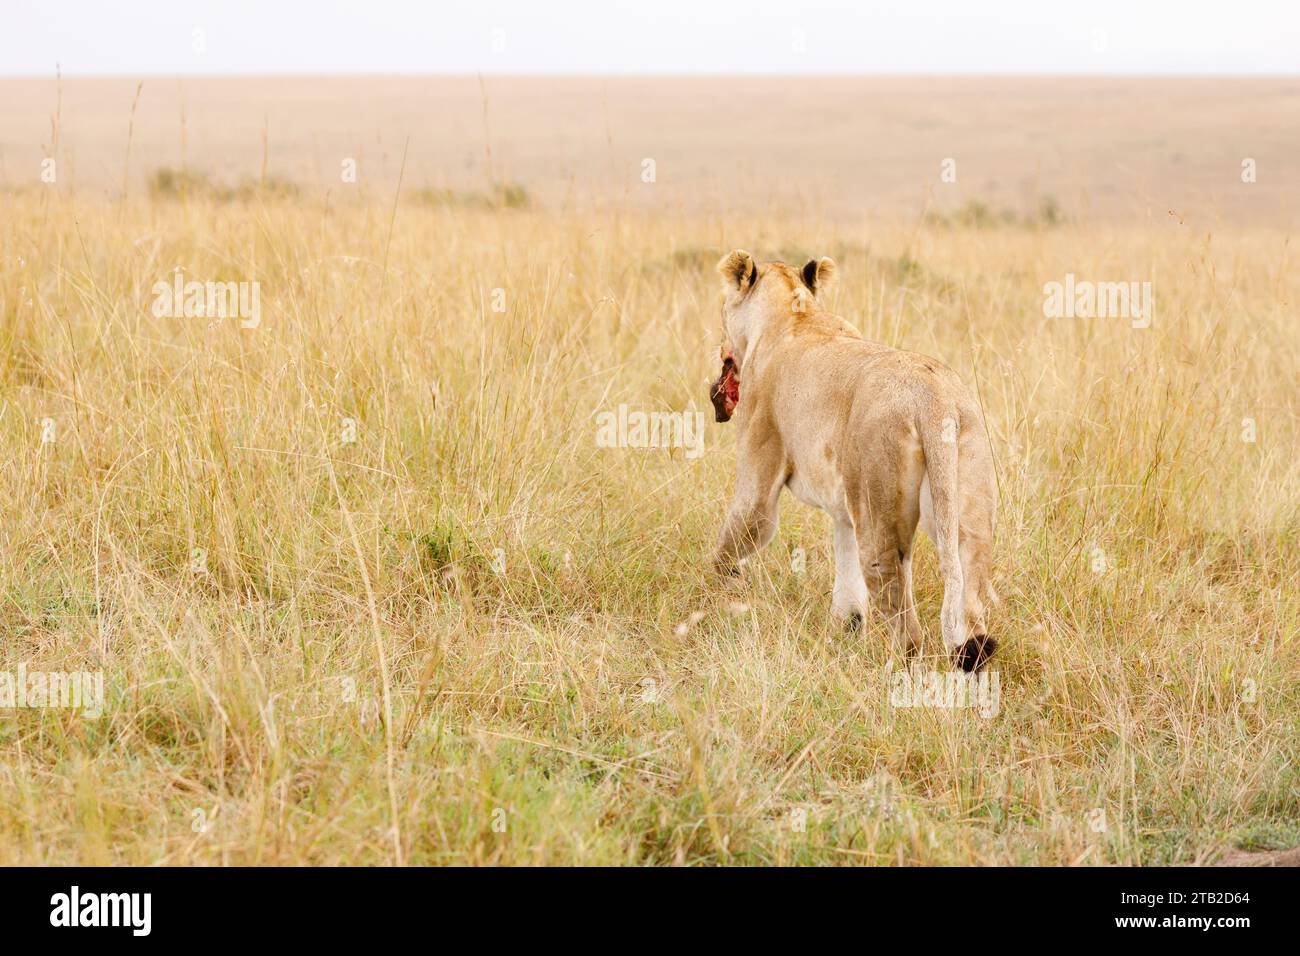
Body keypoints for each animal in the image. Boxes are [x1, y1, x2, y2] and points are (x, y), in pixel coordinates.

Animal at [708, 250, 998, 671]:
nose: (718, 348)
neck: (794, 313)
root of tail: (934, 397)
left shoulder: (760, 470)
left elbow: (739, 534)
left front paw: (712, 596)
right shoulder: (845, 508)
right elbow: (847, 588)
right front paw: (842, 633)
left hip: (879, 516)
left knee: (906, 625)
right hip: (966, 505)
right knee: (972, 611)